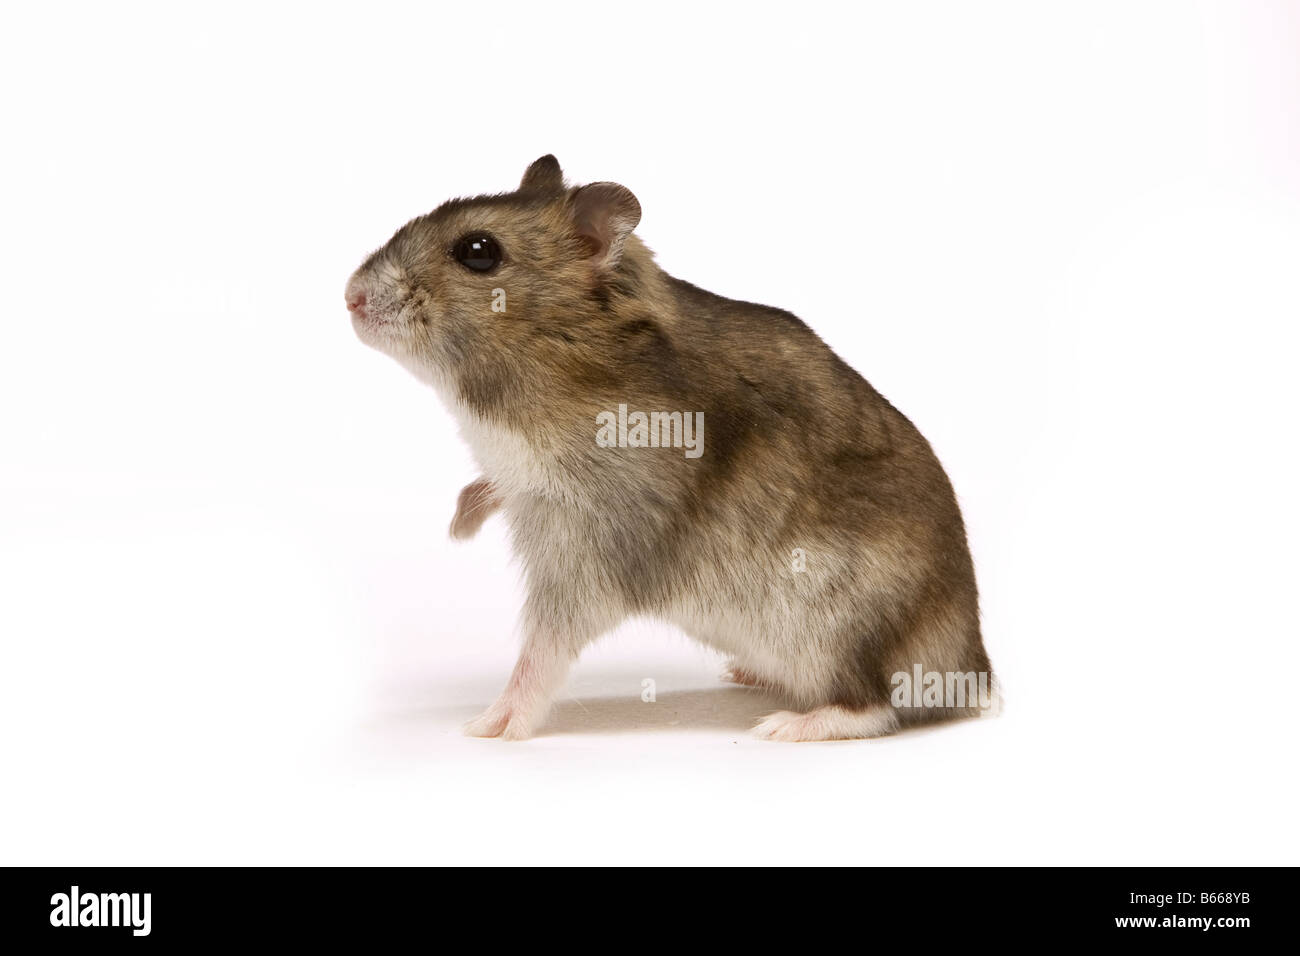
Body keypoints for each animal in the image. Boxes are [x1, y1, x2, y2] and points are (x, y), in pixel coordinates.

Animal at [345, 155, 997, 740]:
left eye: (478, 251)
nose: (349, 297)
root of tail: (976, 671)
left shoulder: (587, 546)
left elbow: (544, 647)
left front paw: (487, 726)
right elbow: (489, 488)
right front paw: (459, 525)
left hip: (835, 627)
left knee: (872, 706)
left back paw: (782, 725)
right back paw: (747, 676)